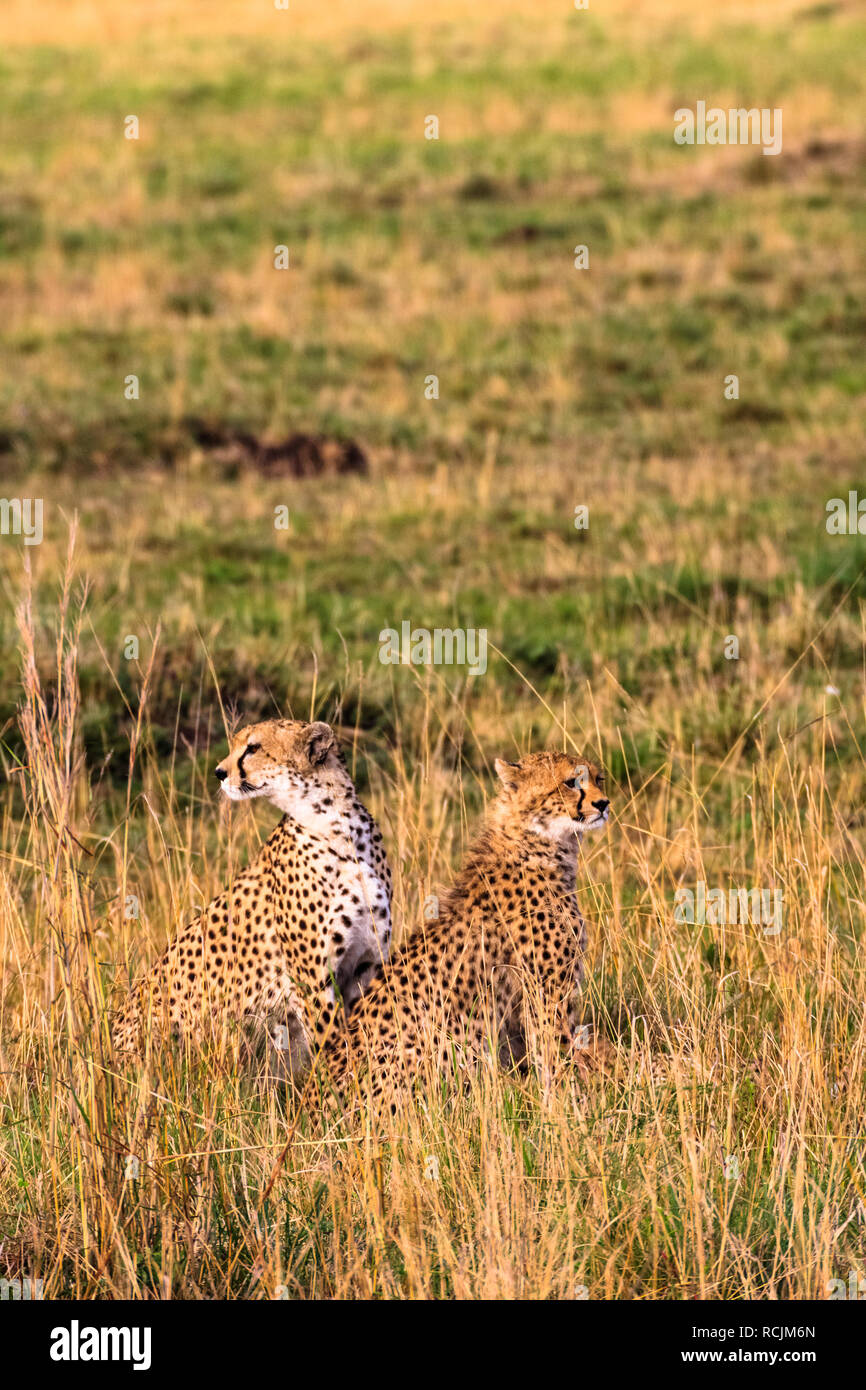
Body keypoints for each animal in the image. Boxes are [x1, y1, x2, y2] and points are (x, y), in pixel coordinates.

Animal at [111, 719, 392, 1077]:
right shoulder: (312, 979)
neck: (339, 827)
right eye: (234, 746)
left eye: (253, 748)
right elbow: (331, 1042)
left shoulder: (366, 964)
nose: (219, 772)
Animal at [314, 749, 609, 1111]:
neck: (538, 844)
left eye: (598, 778)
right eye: (570, 782)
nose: (604, 803)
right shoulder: (547, 994)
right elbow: (558, 1054)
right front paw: (572, 1107)